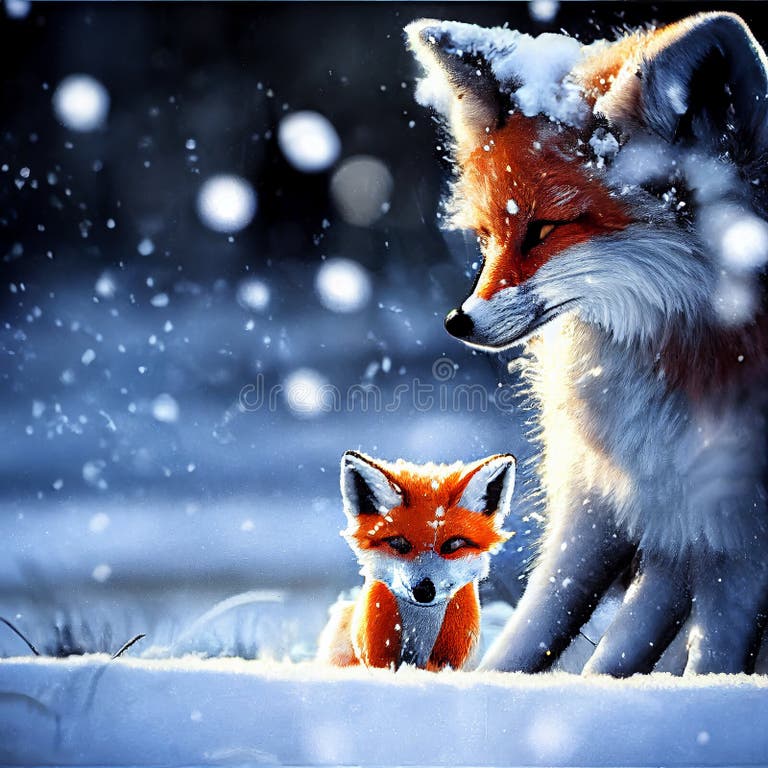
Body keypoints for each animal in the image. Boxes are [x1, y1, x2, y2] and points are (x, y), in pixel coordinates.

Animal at [406, 12, 768, 675]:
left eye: (546, 228)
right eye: (489, 235)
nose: (457, 322)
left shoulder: (738, 533)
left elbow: (713, 656)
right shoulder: (607, 493)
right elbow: (542, 627)